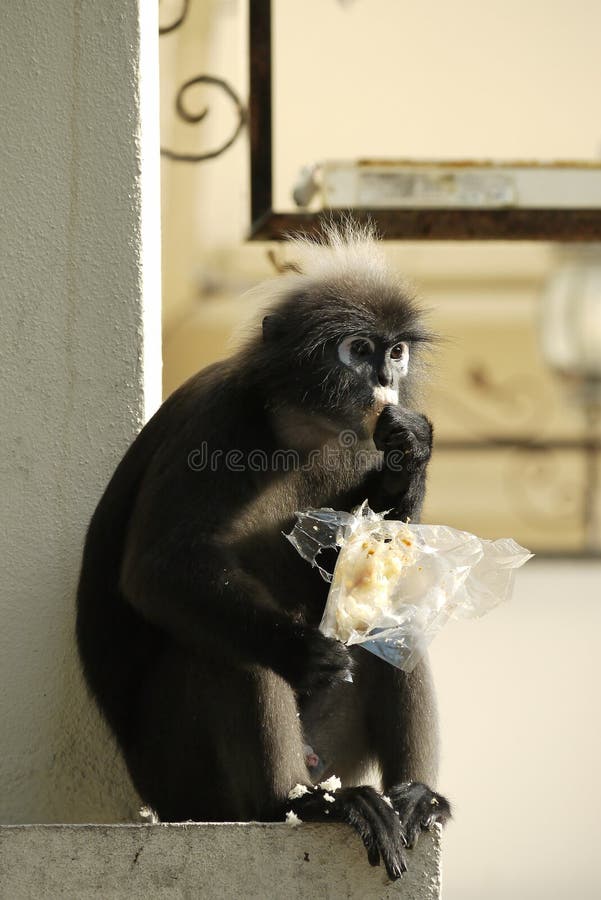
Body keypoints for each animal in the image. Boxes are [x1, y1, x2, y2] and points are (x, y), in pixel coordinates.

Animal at [76, 222, 450, 881]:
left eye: (396, 352)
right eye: (358, 349)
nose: (385, 383)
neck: (305, 428)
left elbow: (362, 560)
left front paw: (413, 447)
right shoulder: (217, 420)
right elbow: (155, 569)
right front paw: (304, 652)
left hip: (335, 747)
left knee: (395, 623)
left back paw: (414, 799)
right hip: (189, 780)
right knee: (229, 650)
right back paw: (296, 805)